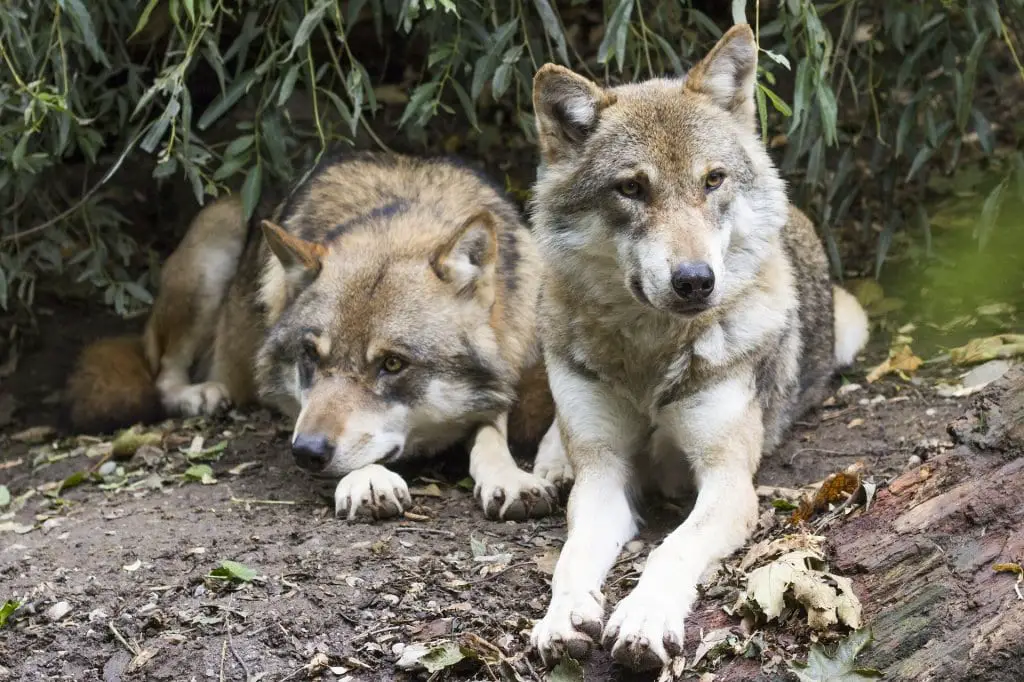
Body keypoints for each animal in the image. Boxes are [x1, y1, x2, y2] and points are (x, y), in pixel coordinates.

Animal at [66, 153, 561, 521]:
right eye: (309, 355)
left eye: (392, 364)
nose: (306, 452)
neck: (402, 214)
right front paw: (369, 479)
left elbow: (491, 432)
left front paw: (510, 477)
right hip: (215, 245)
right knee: (162, 373)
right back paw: (200, 395)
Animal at [524, 25, 870, 670]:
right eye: (631, 188)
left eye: (712, 180)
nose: (694, 281)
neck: (649, 355)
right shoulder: (604, 475)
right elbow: (572, 557)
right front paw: (561, 617)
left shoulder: (728, 481)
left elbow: (673, 549)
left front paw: (643, 618)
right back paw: (549, 466)